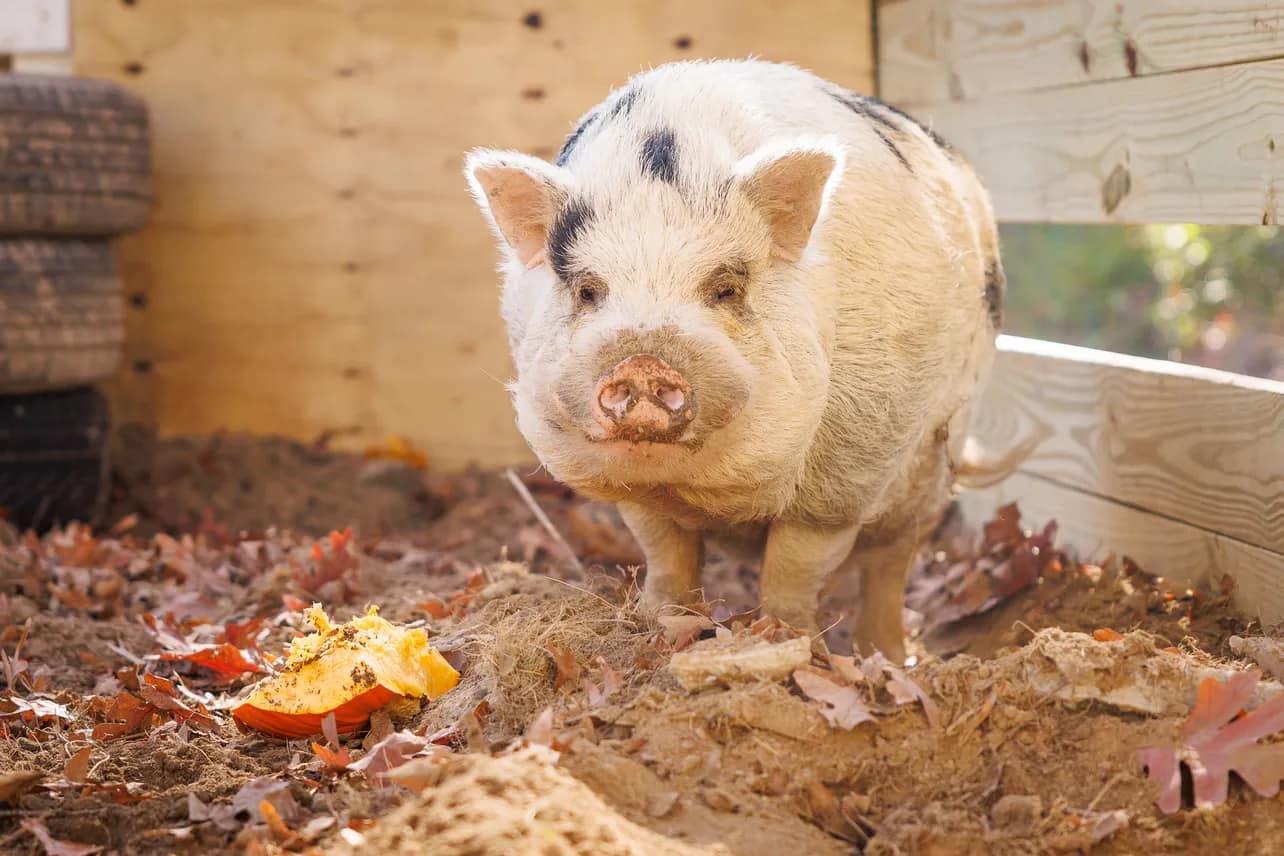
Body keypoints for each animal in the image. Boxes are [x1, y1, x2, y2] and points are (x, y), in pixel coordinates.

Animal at [465, 59, 1005, 662]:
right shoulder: (639, 501)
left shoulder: (849, 466)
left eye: (725, 288)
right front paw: (657, 627)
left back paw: (892, 657)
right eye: (587, 290)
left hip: (936, 466)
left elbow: (796, 561)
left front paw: (783, 640)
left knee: (892, 565)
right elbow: (665, 551)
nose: (643, 363)